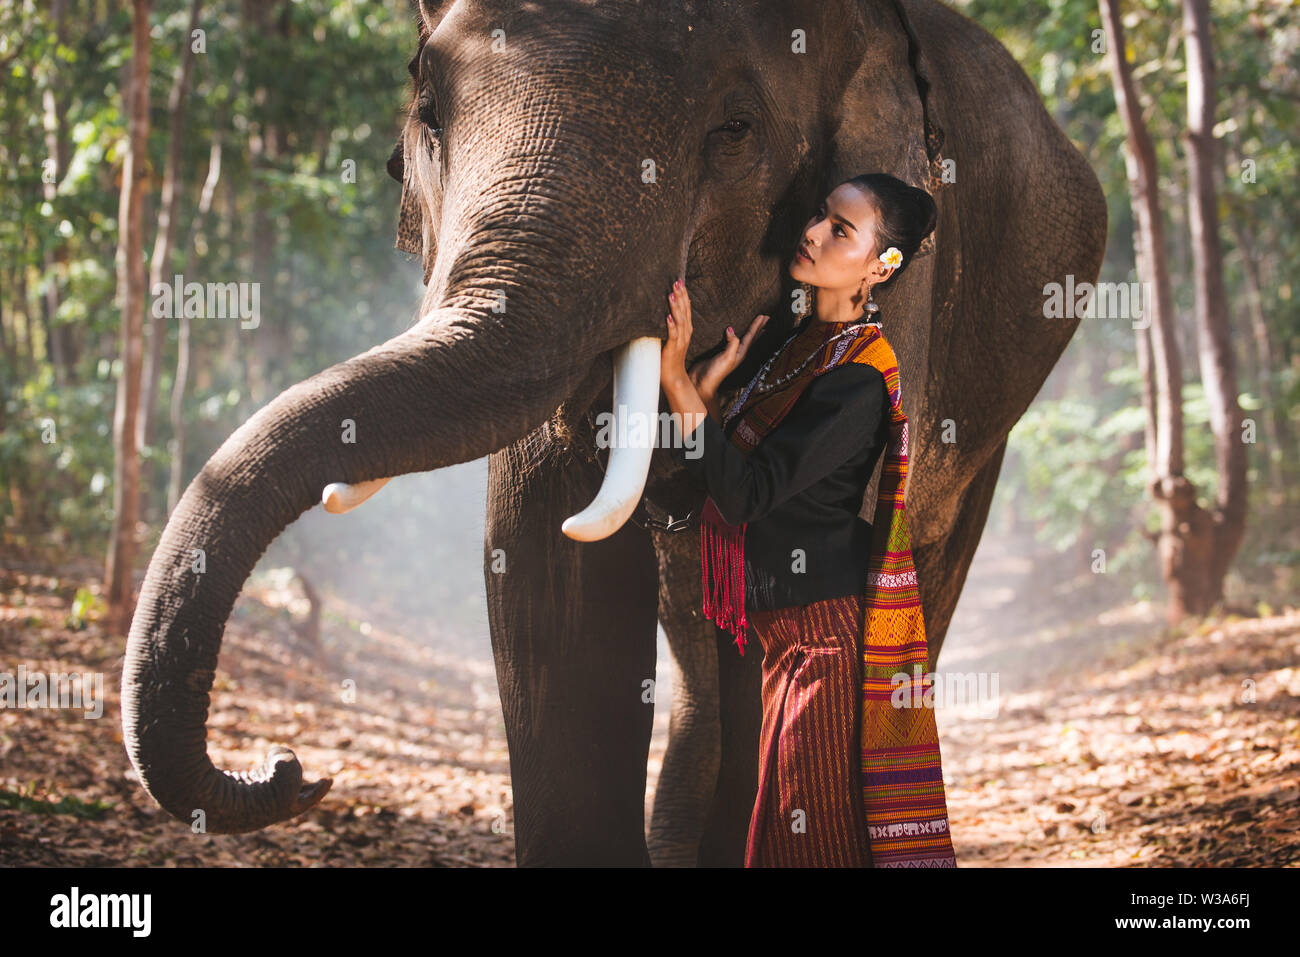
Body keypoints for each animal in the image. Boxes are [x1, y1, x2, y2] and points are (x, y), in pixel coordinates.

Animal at [120, 0, 1107, 867]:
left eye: (735, 128)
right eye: (428, 115)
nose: (290, 766)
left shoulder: (908, 302)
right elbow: (542, 564)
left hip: (993, 416)